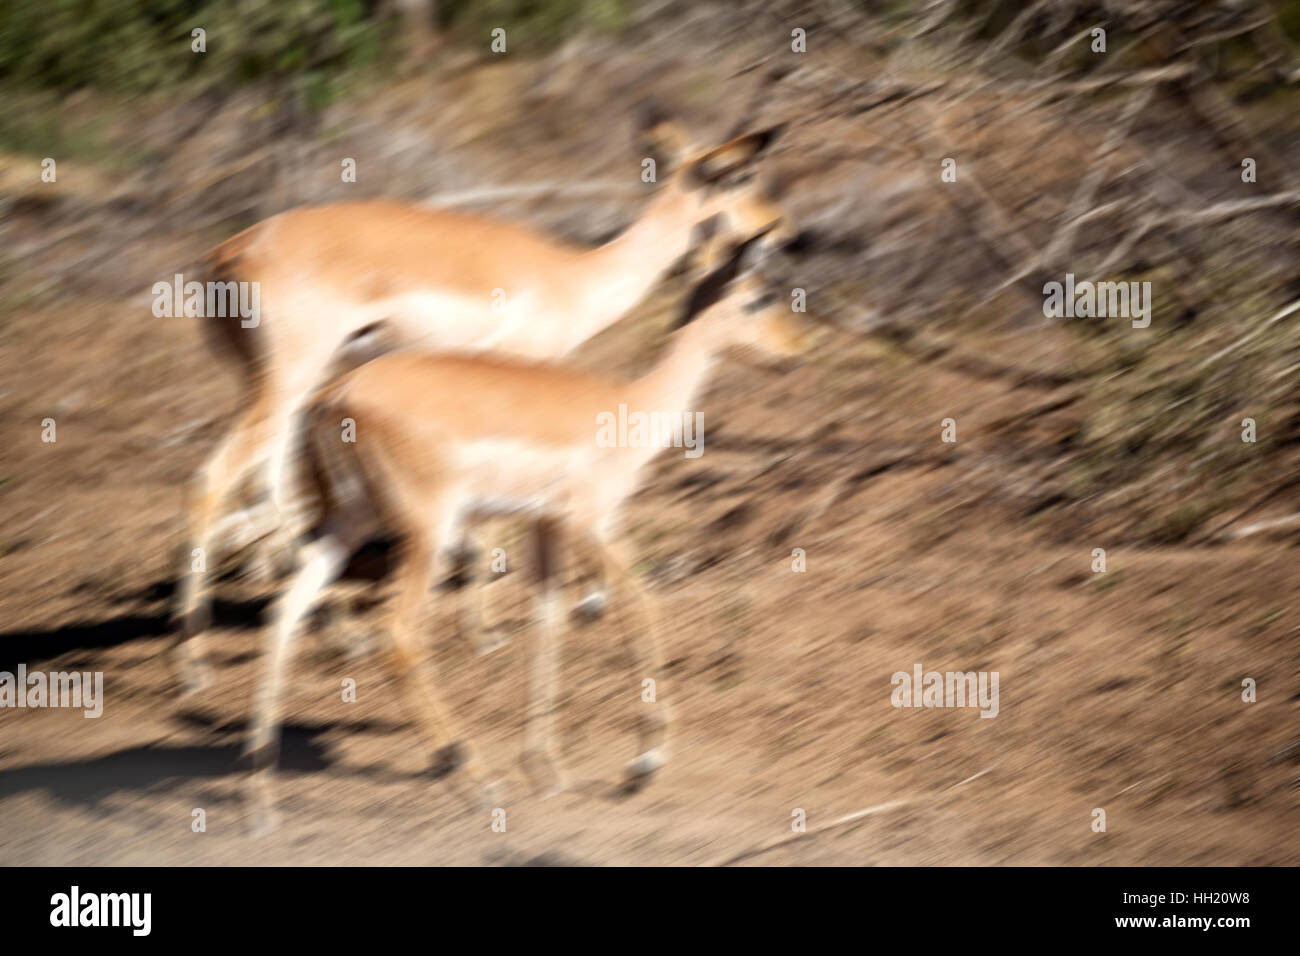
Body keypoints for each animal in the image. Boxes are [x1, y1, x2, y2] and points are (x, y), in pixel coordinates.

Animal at [176, 117, 793, 693]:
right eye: (741, 177)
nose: (778, 229)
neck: (573, 276)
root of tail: (224, 254)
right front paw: (493, 627)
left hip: (287, 392)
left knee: (273, 489)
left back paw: (335, 632)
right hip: (287, 383)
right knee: (214, 479)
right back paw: (193, 663)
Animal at [241, 251, 813, 833]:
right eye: (758, 296)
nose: (799, 348)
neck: (629, 407)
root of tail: (333, 396)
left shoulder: (547, 528)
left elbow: (548, 621)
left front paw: (545, 768)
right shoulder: (589, 523)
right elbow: (640, 605)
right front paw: (644, 764)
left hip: (347, 526)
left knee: (285, 615)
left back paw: (261, 798)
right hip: (428, 533)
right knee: (396, 634)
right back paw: (475, 779)